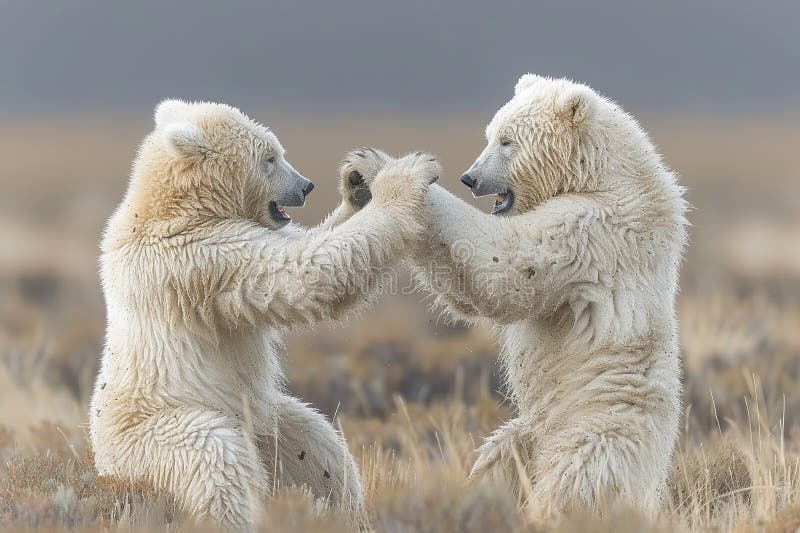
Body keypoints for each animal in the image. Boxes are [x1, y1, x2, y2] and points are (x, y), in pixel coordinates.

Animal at [89, 100, 440, 529]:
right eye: (270, 158)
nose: (305, 186)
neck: (169, 209)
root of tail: (108, 470)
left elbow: (309, 242)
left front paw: (358, 180)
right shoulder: (202, 255)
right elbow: (305, 270)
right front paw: (406, 176)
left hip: (267, 423)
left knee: (318, 449)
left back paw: (344, 512)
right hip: (164, 433)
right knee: (217, 460)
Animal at [337, 75, 688, 517]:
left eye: (507, 141)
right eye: (489, 135)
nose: (470, 178)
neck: (609, 175)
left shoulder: (596, 229)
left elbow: (507, 265)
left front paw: (381, 168)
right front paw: (357, 180)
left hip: (599, 425)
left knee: (576, 479)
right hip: (529, 430)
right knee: (499, 461)